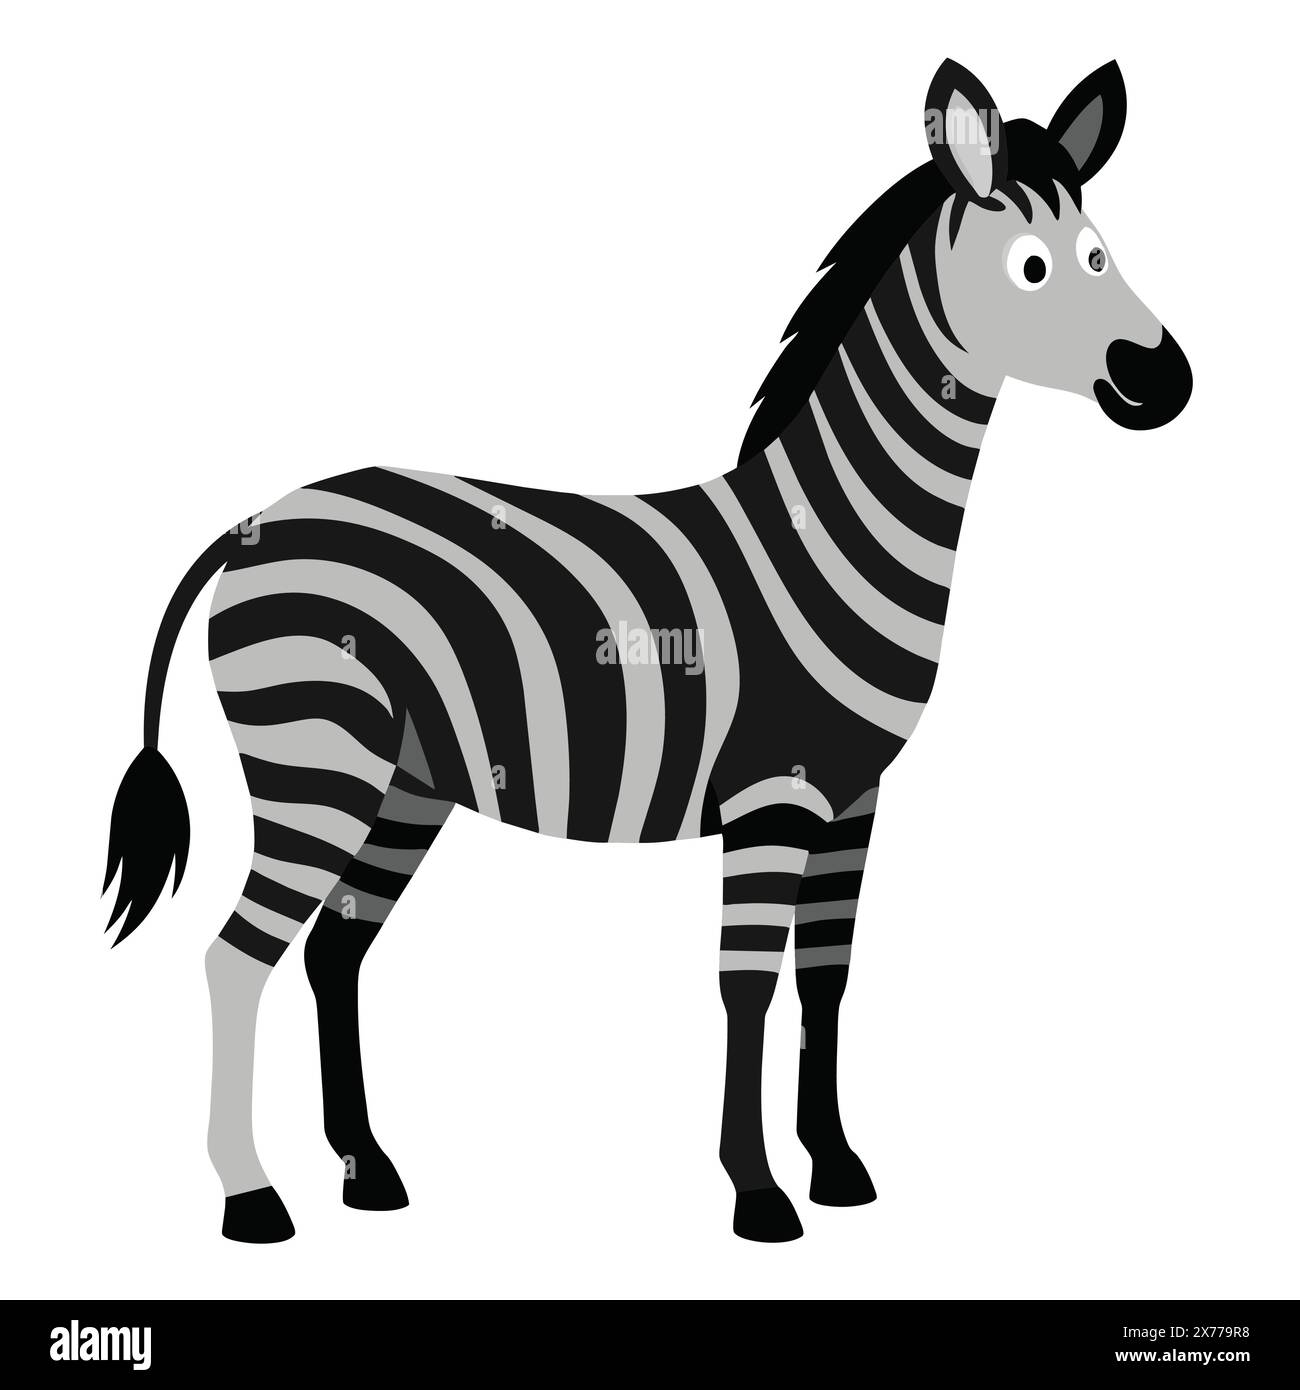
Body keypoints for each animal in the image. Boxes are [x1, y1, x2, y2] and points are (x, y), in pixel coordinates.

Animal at [102, 59, 1191, 1244]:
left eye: (1099, 253)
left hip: (404, 783)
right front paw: (759, 1193)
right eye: (1033, 267)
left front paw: (836, 1165)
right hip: (316, 762)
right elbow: (746, 982)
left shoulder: (854, 801)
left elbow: (826, 978)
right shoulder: (775, 794)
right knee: (234, 955)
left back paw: (368, 1170)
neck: (835, 529)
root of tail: (253, 525)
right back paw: (252, 1198)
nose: (1164, 381)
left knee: (332, 950)